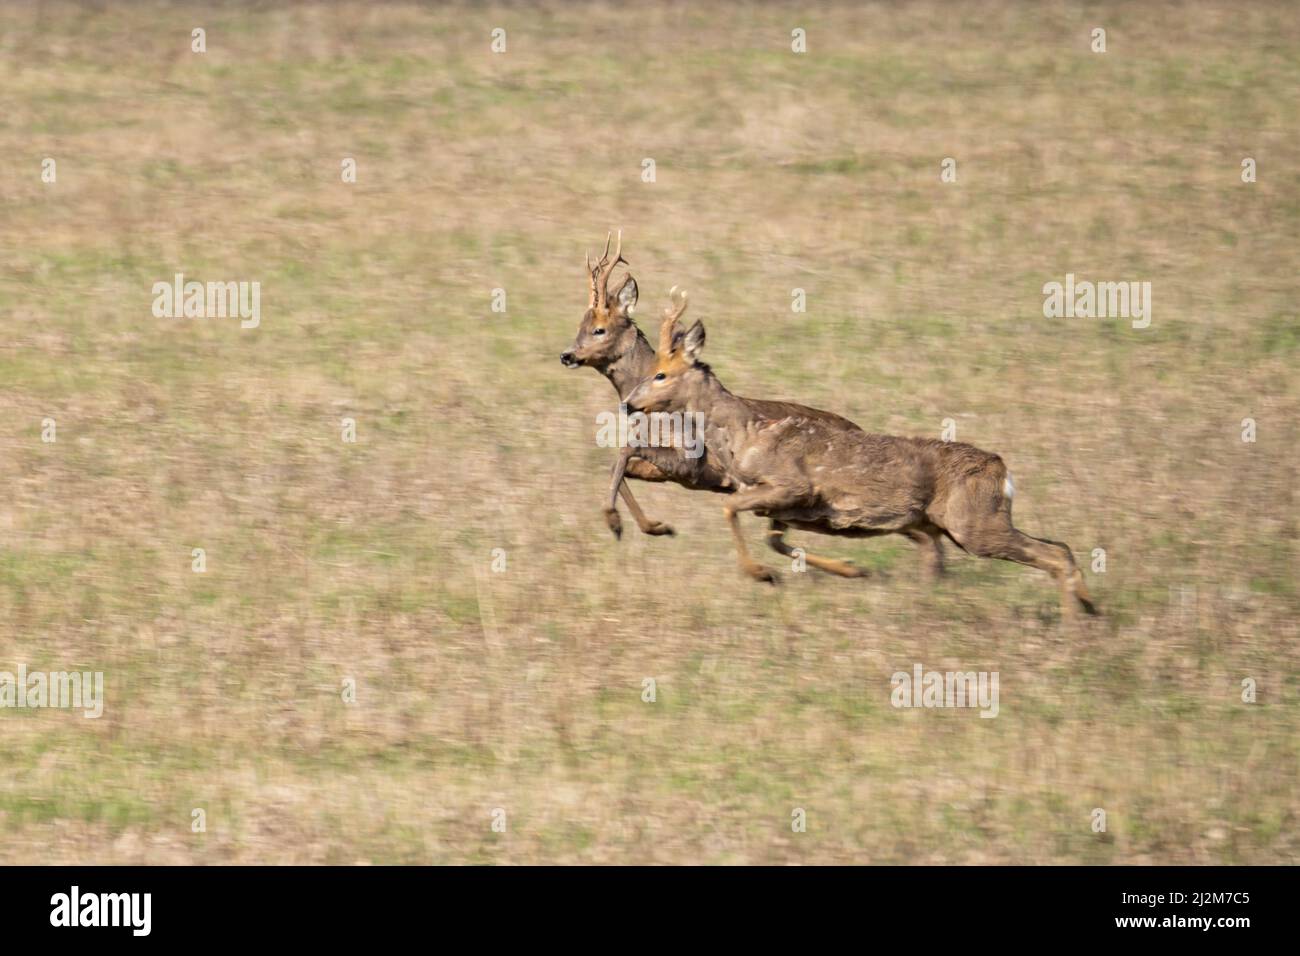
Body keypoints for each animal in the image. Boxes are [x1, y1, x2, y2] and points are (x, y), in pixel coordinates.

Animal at [562, 233, 871, 577]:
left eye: (599, 328)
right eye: (580, 324)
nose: (567, 355)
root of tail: (858, 428)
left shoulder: (692, 463)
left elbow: (624, 452)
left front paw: (619, 523)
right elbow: (622, 468)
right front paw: (658, 527)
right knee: (777, 538)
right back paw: (849, 567)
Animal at [622, 297, 1099, 617]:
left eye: (661, 374)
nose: (628, 403)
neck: (747, 435)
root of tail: (1002, 470)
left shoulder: (792, 486)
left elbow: (729, 508)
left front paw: (761, 574)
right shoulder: (784, 506)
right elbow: (766, 531)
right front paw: (844, 570)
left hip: (974, 524)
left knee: (1055, 554)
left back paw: (1074, 625)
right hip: (973, 522)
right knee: (1061, 546)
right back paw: (1089, 609)